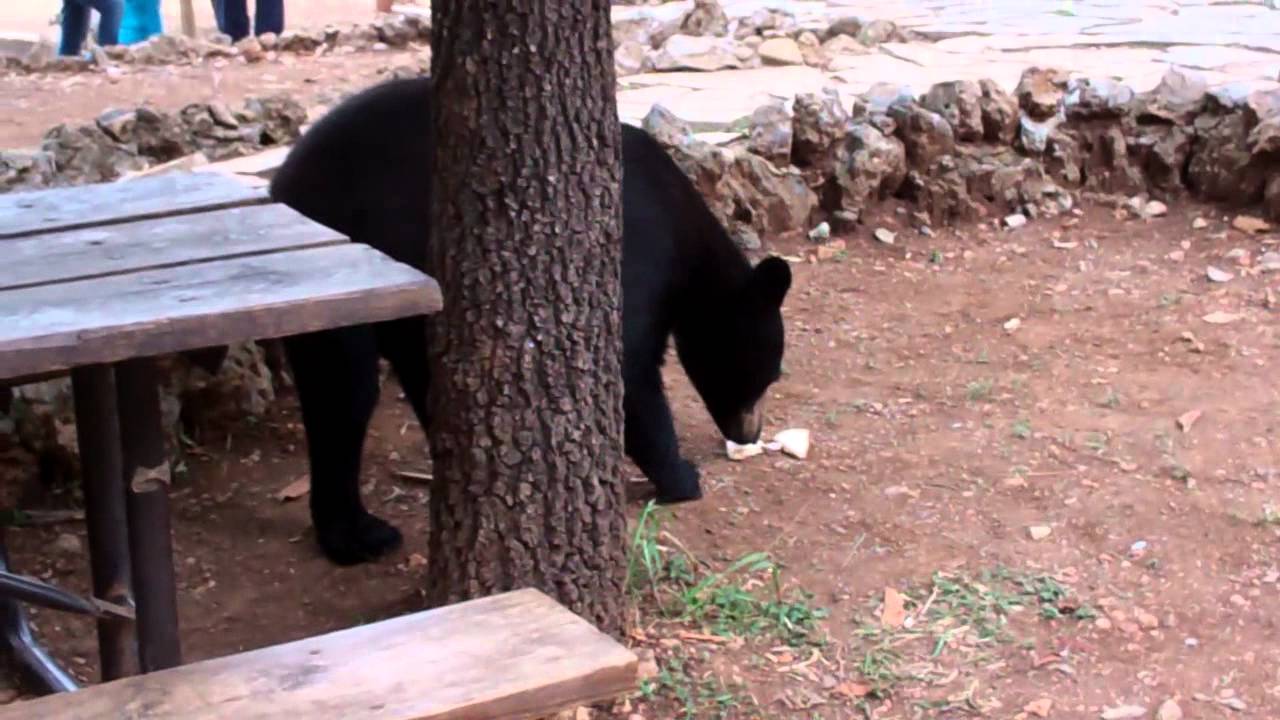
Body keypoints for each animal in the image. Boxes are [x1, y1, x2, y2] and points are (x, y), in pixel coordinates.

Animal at [269, 76, 792, 566]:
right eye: (764, 375)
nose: (749, 433)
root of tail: (283, 182)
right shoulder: (633, 250)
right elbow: (629, 369)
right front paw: (680, 474)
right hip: (337, 265)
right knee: (344, 391)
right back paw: (360, 535)